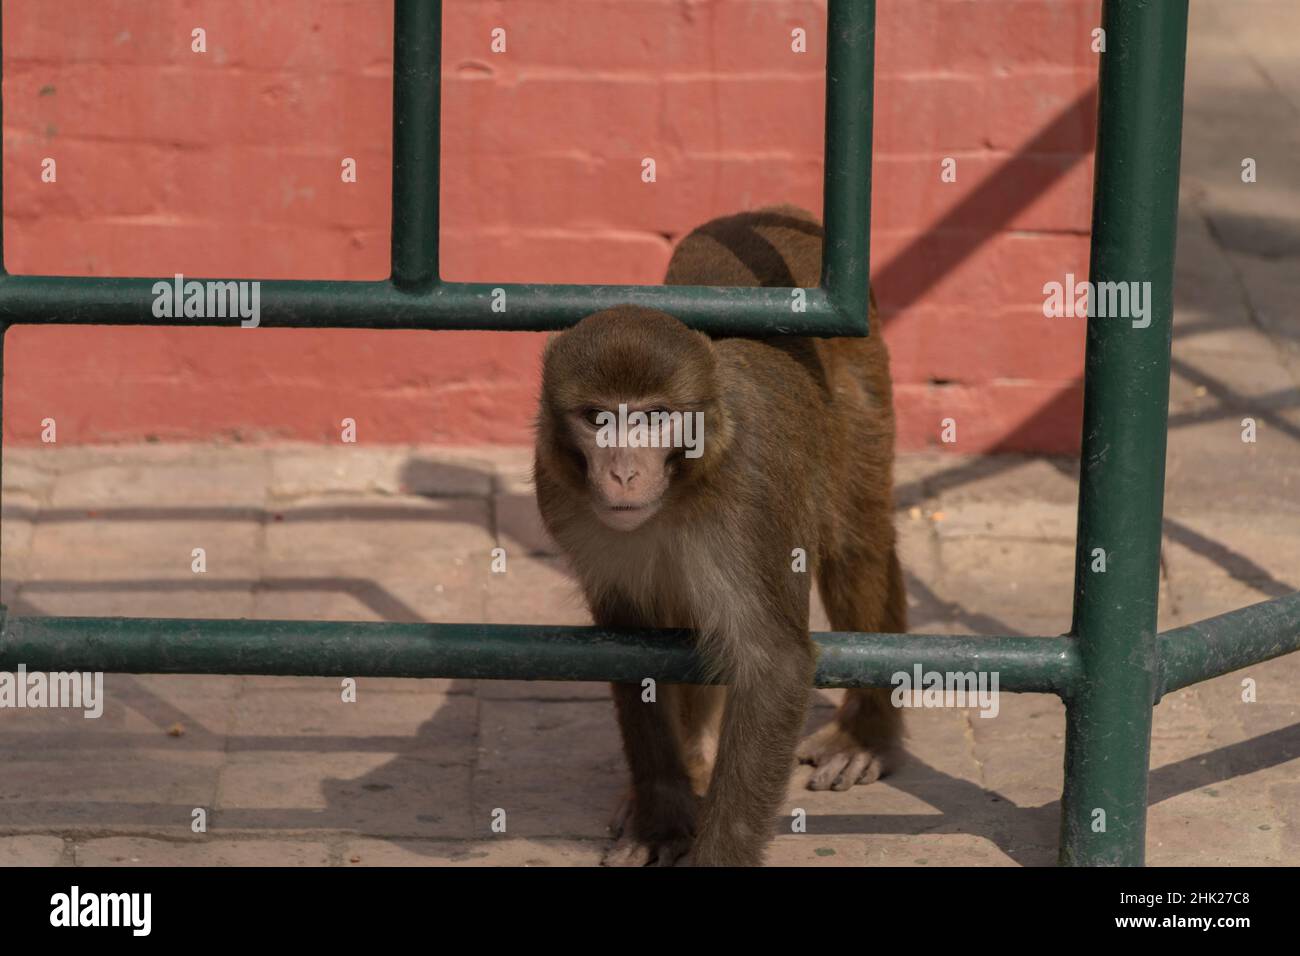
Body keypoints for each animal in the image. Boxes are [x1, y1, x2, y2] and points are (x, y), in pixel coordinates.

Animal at [534, 205, 906, 866]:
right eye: (598, 418)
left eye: (655, 418)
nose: (622, 471)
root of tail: (774, 213)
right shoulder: (562, 496)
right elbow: (631, 643)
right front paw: (660, 819)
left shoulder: (749, 498)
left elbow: (773, 663)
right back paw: (696, 765)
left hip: (863, 381)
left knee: (853, 545)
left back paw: (867, 736)